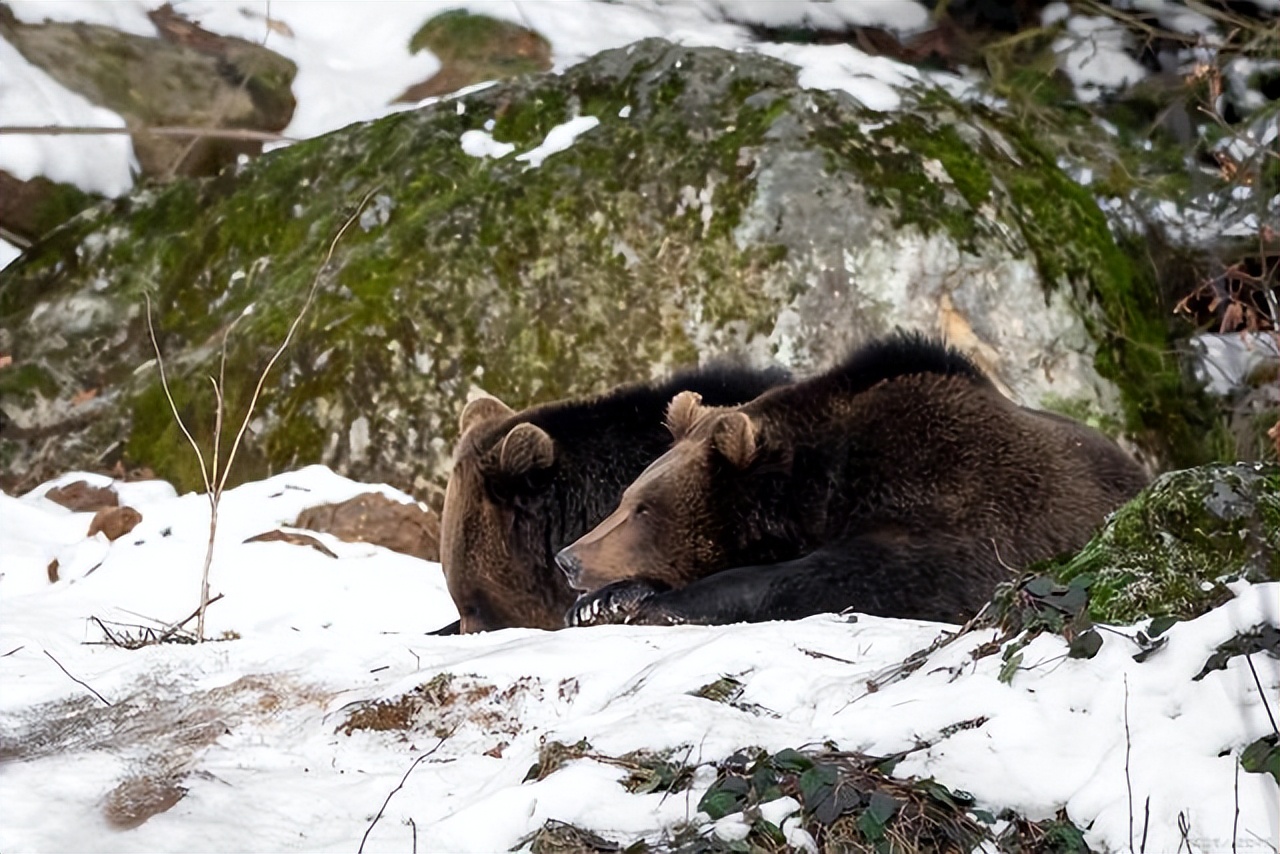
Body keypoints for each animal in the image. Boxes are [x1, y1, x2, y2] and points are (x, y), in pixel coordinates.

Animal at [556, 333, 1149, 628]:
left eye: (644, 507)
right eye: (625, 497)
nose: (568, 558)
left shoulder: (958, 503)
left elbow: (866, 574)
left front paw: (665, 604)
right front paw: (605, 602)